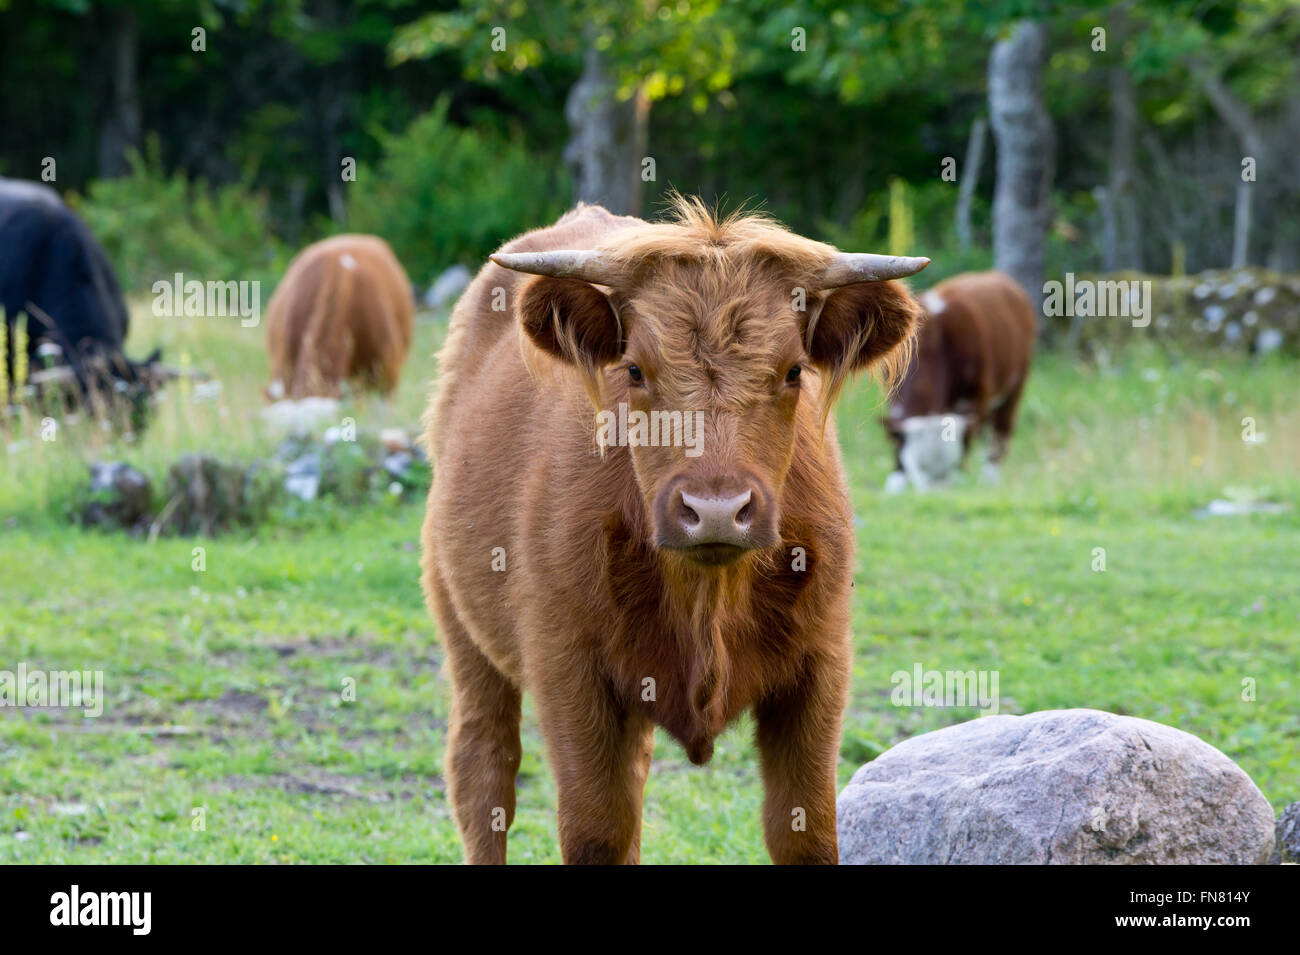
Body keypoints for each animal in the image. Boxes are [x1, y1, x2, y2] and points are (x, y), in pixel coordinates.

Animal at [420, 198, 929, 864]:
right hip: (464, 631)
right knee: (485, 771)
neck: (708, 593)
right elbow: (595, 828)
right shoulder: (568, 669)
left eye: (794, 371)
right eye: (635, 370)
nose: (715, 509)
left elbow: (805, 828)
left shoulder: (821, 667)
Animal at [881, 271, 1036, 492]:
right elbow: (897, 434)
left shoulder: (976, 398)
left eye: (951, 467)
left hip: (1015, 385)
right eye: (920, 468)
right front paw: (896, 481)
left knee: (1001, 431)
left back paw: (991, 475)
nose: (937, 493)